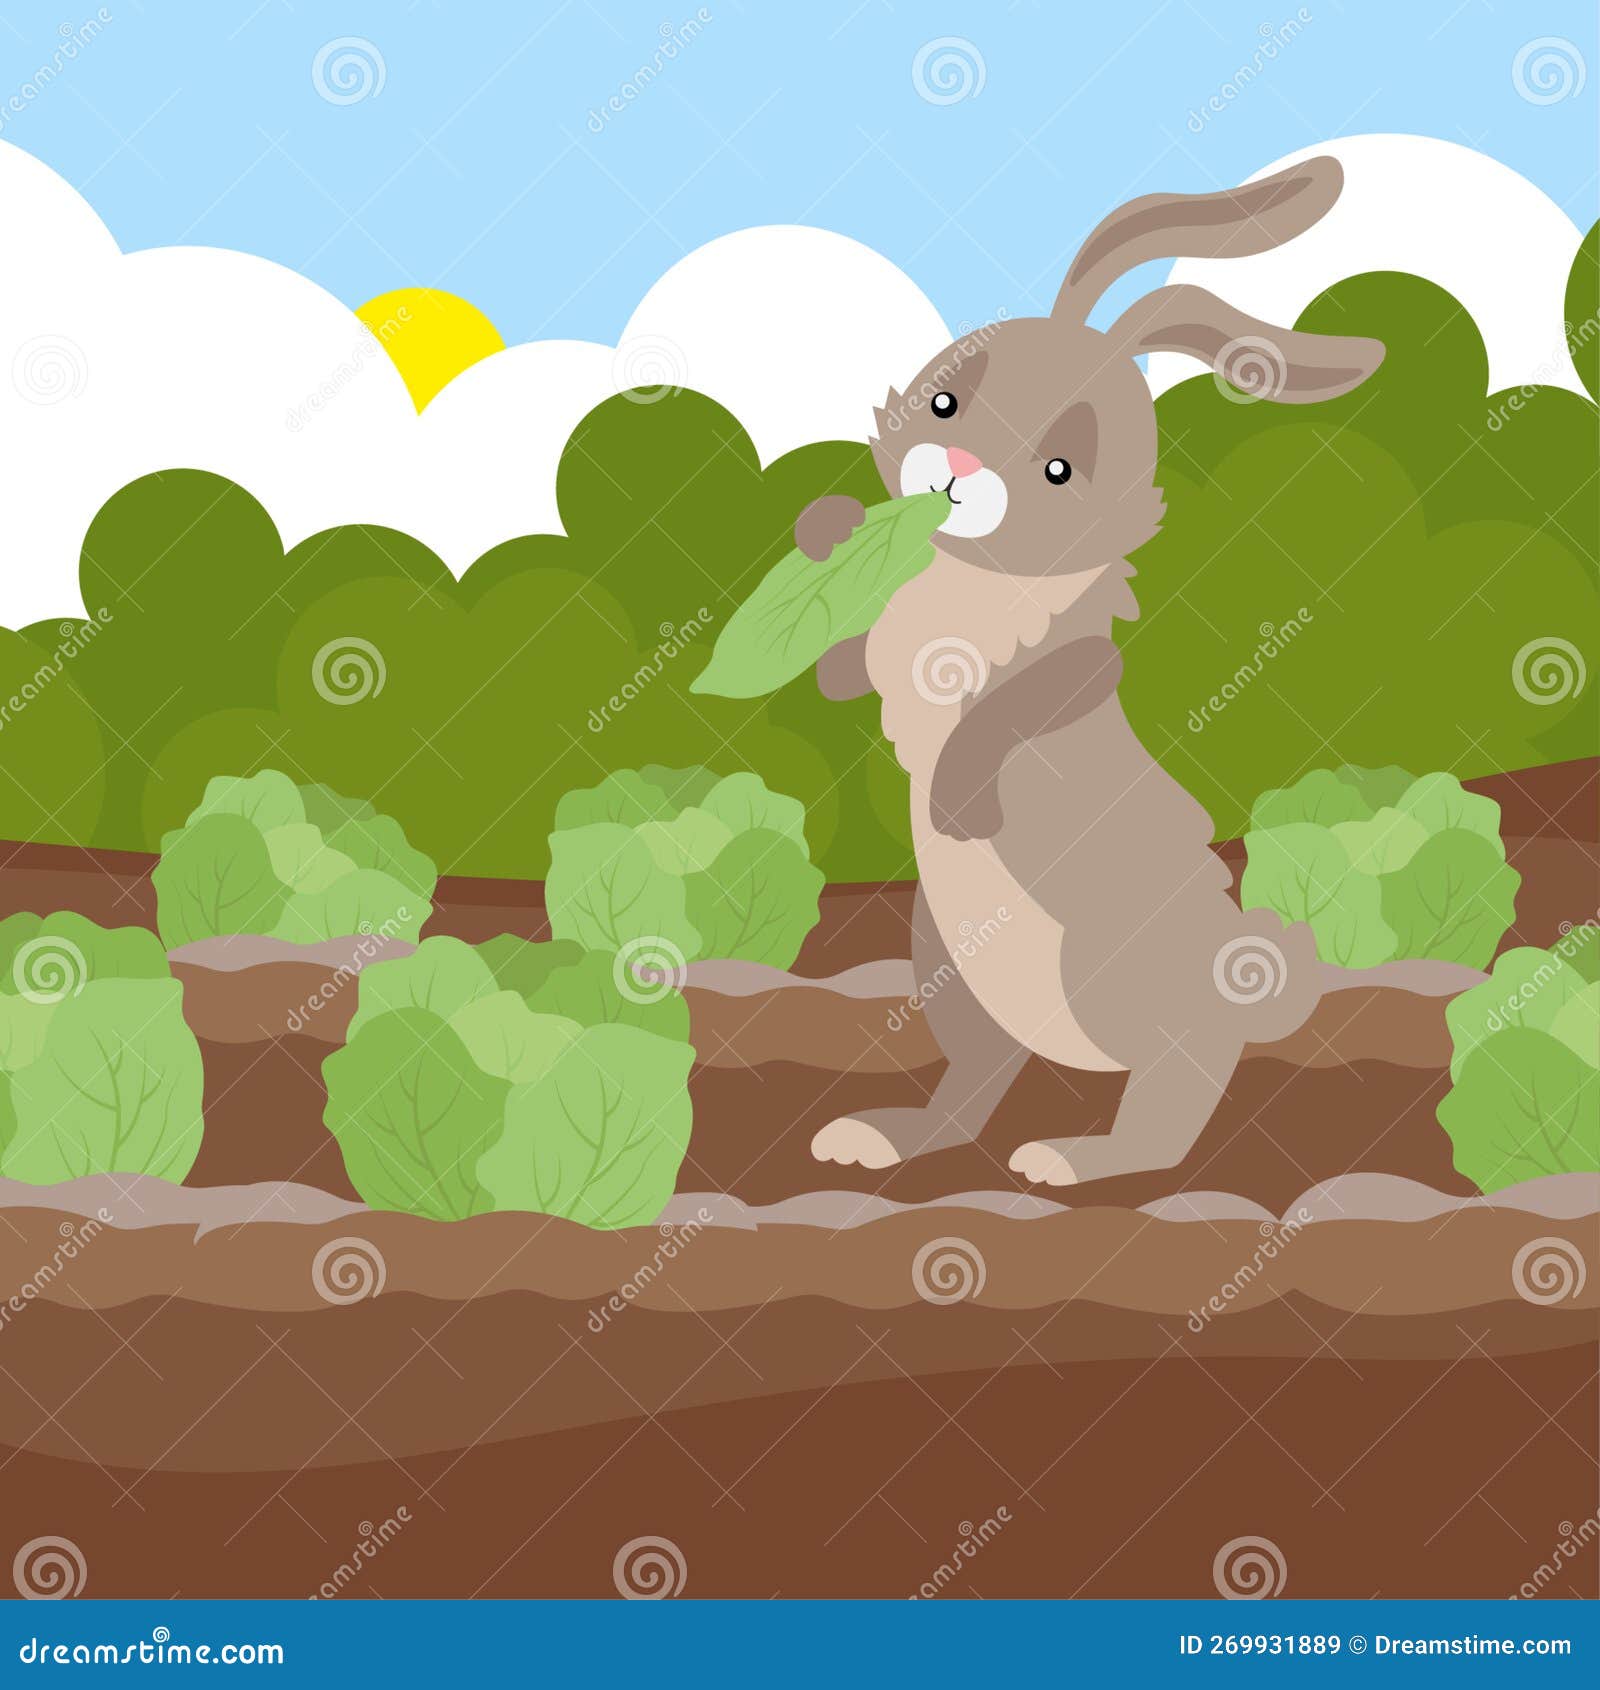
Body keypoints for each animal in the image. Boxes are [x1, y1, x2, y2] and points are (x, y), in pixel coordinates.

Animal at [798, 156, 1416, 1188]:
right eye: (946, 402)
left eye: (1059, 469)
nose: (955, 465)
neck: (972, 578)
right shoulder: (878, 660)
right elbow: (841, 668)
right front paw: (828, 526)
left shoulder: (1070, 674)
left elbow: (1017, 708)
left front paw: (960, 805)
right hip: (947, 961)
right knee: (972, 1088)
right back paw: (885, 1138)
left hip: (1104, 964)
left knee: (1173, 1101)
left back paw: (1070, 1158)